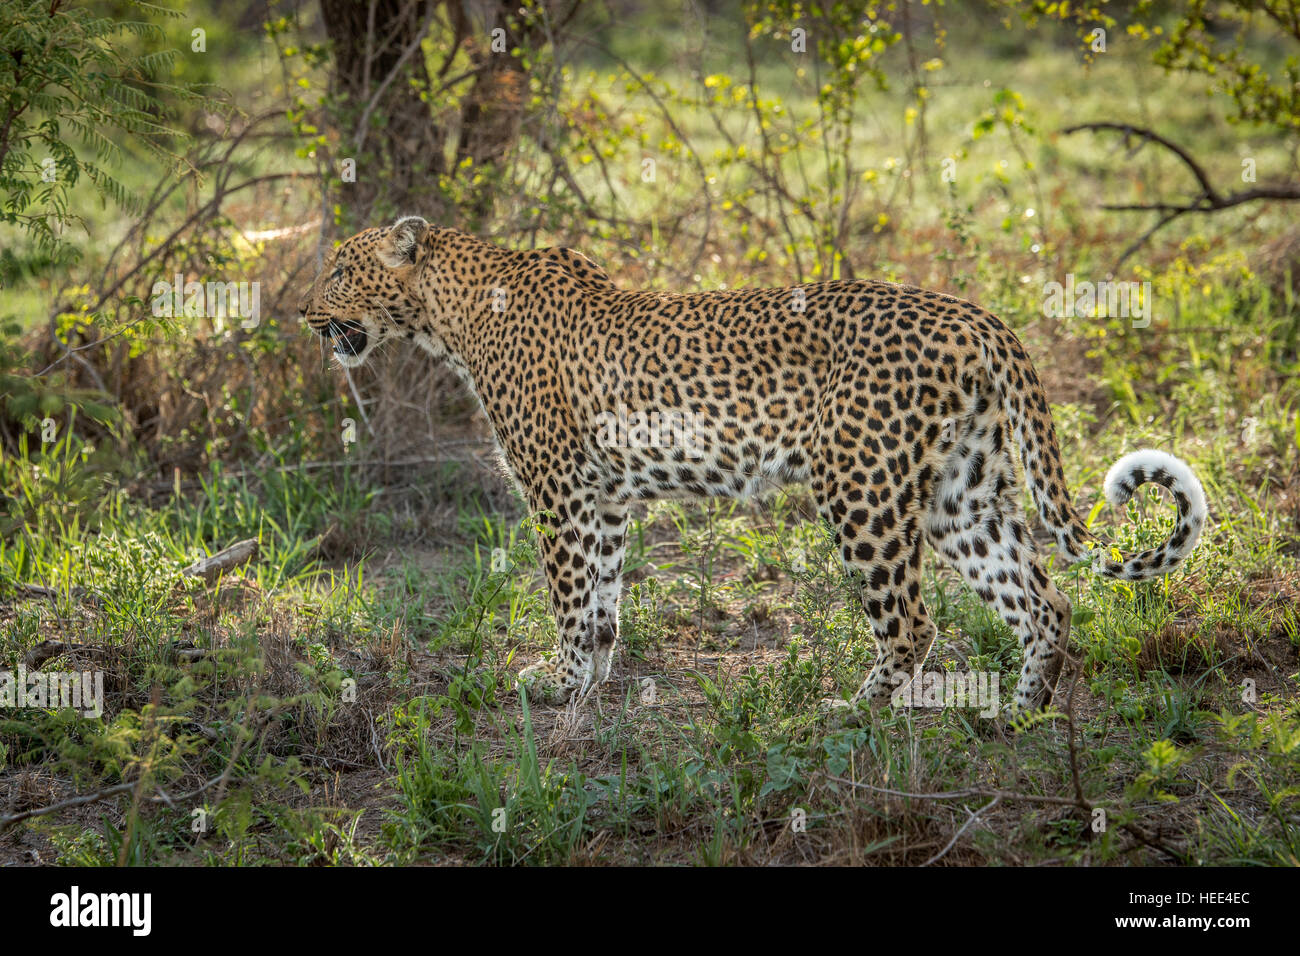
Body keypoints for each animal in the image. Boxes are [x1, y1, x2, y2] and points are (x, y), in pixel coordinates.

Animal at [298, 215, 1208, 715]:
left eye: (340, 268)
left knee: (912, 623)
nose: (303, 312)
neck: (445, 317)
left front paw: (558, 683)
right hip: (963, 494)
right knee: (1043, 602)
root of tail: (976, 315)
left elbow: (568, 599)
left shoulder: (557, 492)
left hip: (861, 487)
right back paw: (1015, 723)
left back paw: (850, 713)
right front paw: (588, 685)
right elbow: (602, 602)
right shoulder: (603, 498)